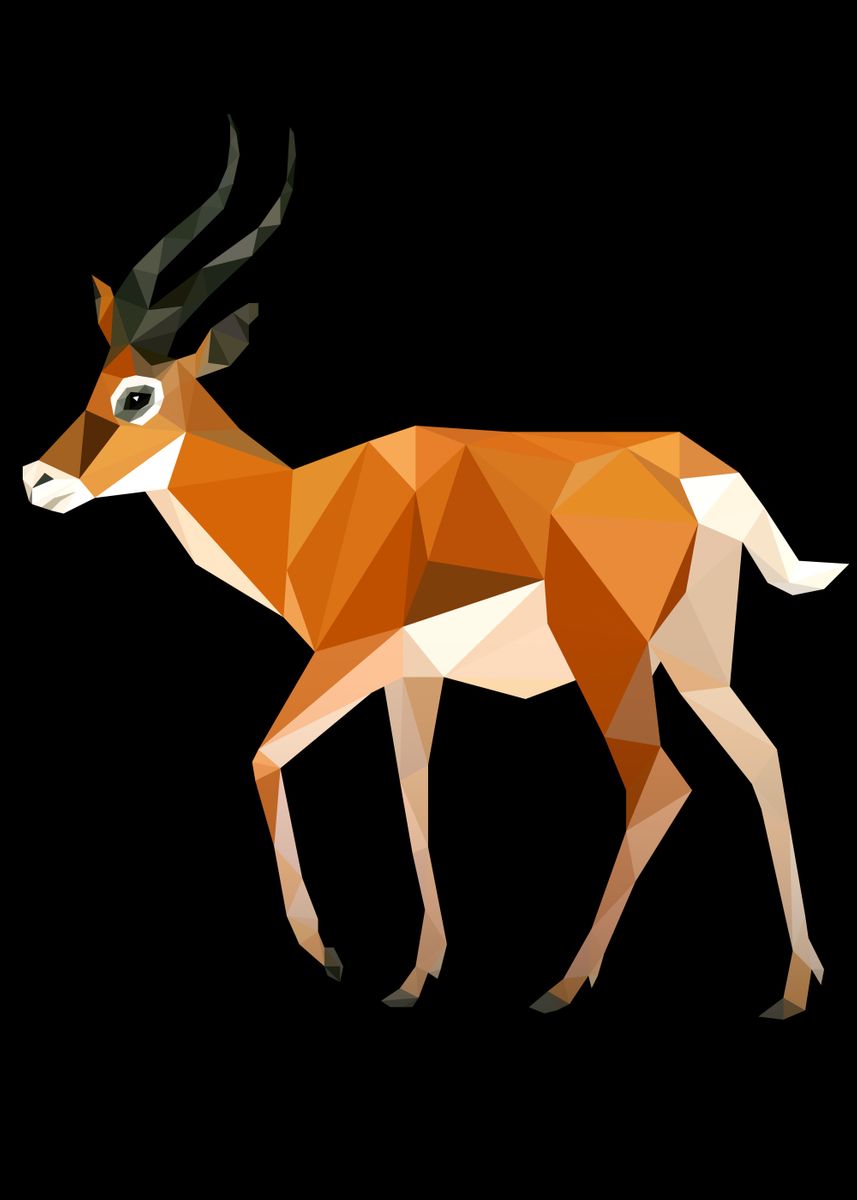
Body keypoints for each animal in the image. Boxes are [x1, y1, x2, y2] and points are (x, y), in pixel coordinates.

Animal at [22, 118, 845, 1018]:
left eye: (137, 396)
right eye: (93, 381)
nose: (38, 480)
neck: (303, 515)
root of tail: (705, 474)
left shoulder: (345, 656)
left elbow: (265, 757)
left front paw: (327, 954)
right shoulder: (410, 676)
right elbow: (413, 794)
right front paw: (414, 977)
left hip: (610, 658)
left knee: (660, 782)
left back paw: (562, 985)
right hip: (692, 654)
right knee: (762, 756)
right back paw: (794, 986)